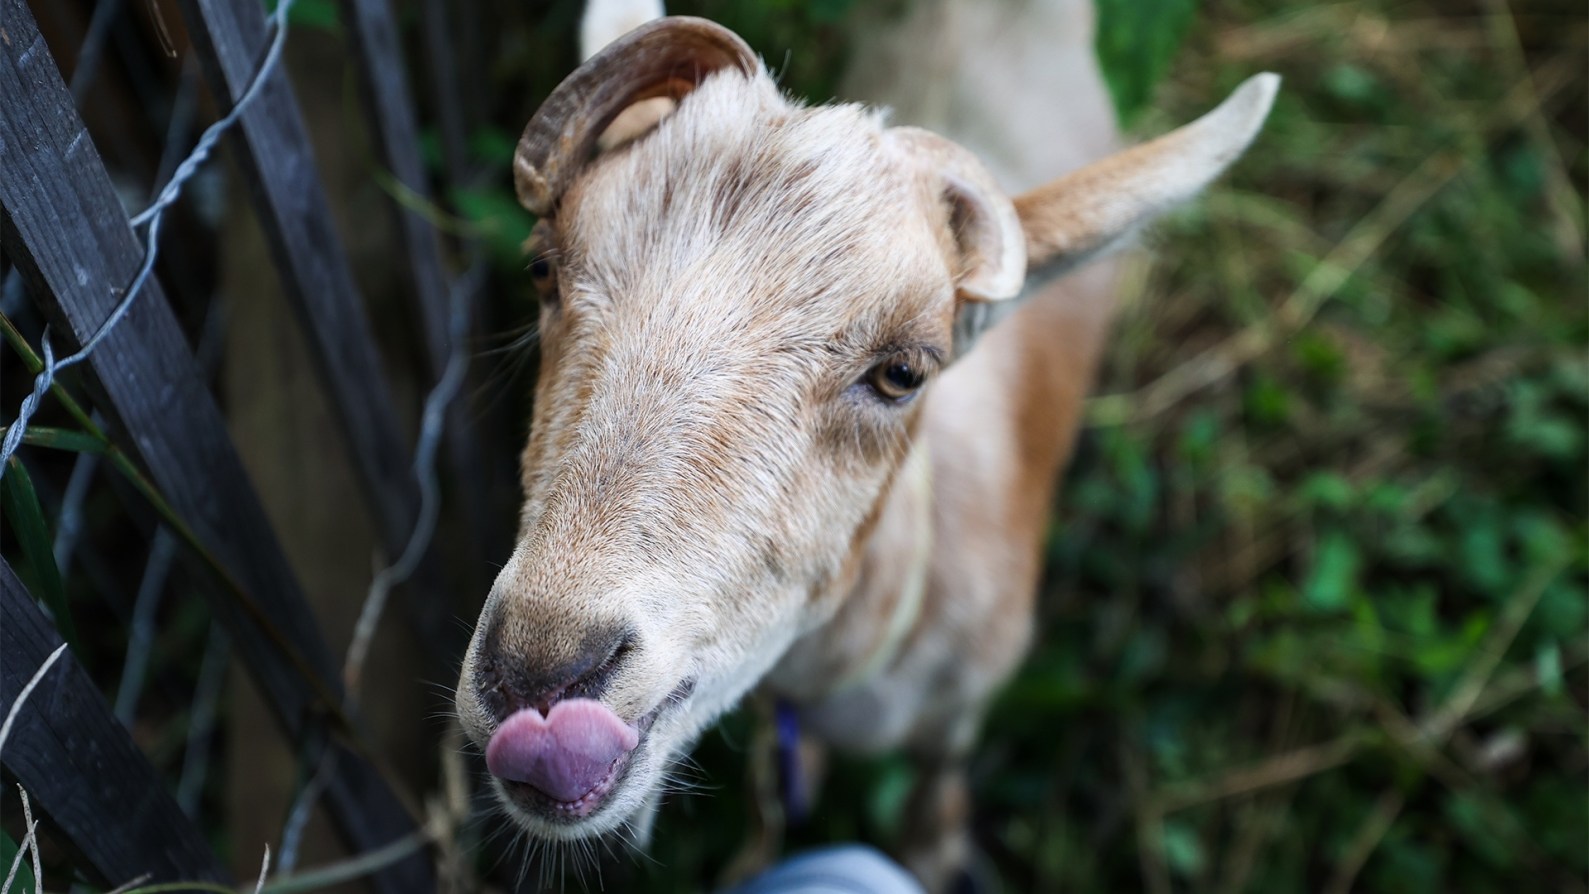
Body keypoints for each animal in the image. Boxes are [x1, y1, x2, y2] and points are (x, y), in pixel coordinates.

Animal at [454, 1, 1276, 888]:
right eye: (542, 269)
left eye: (902, 371)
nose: (539, 670)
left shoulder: (963, 706)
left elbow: (936, 786)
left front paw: (933, 846)